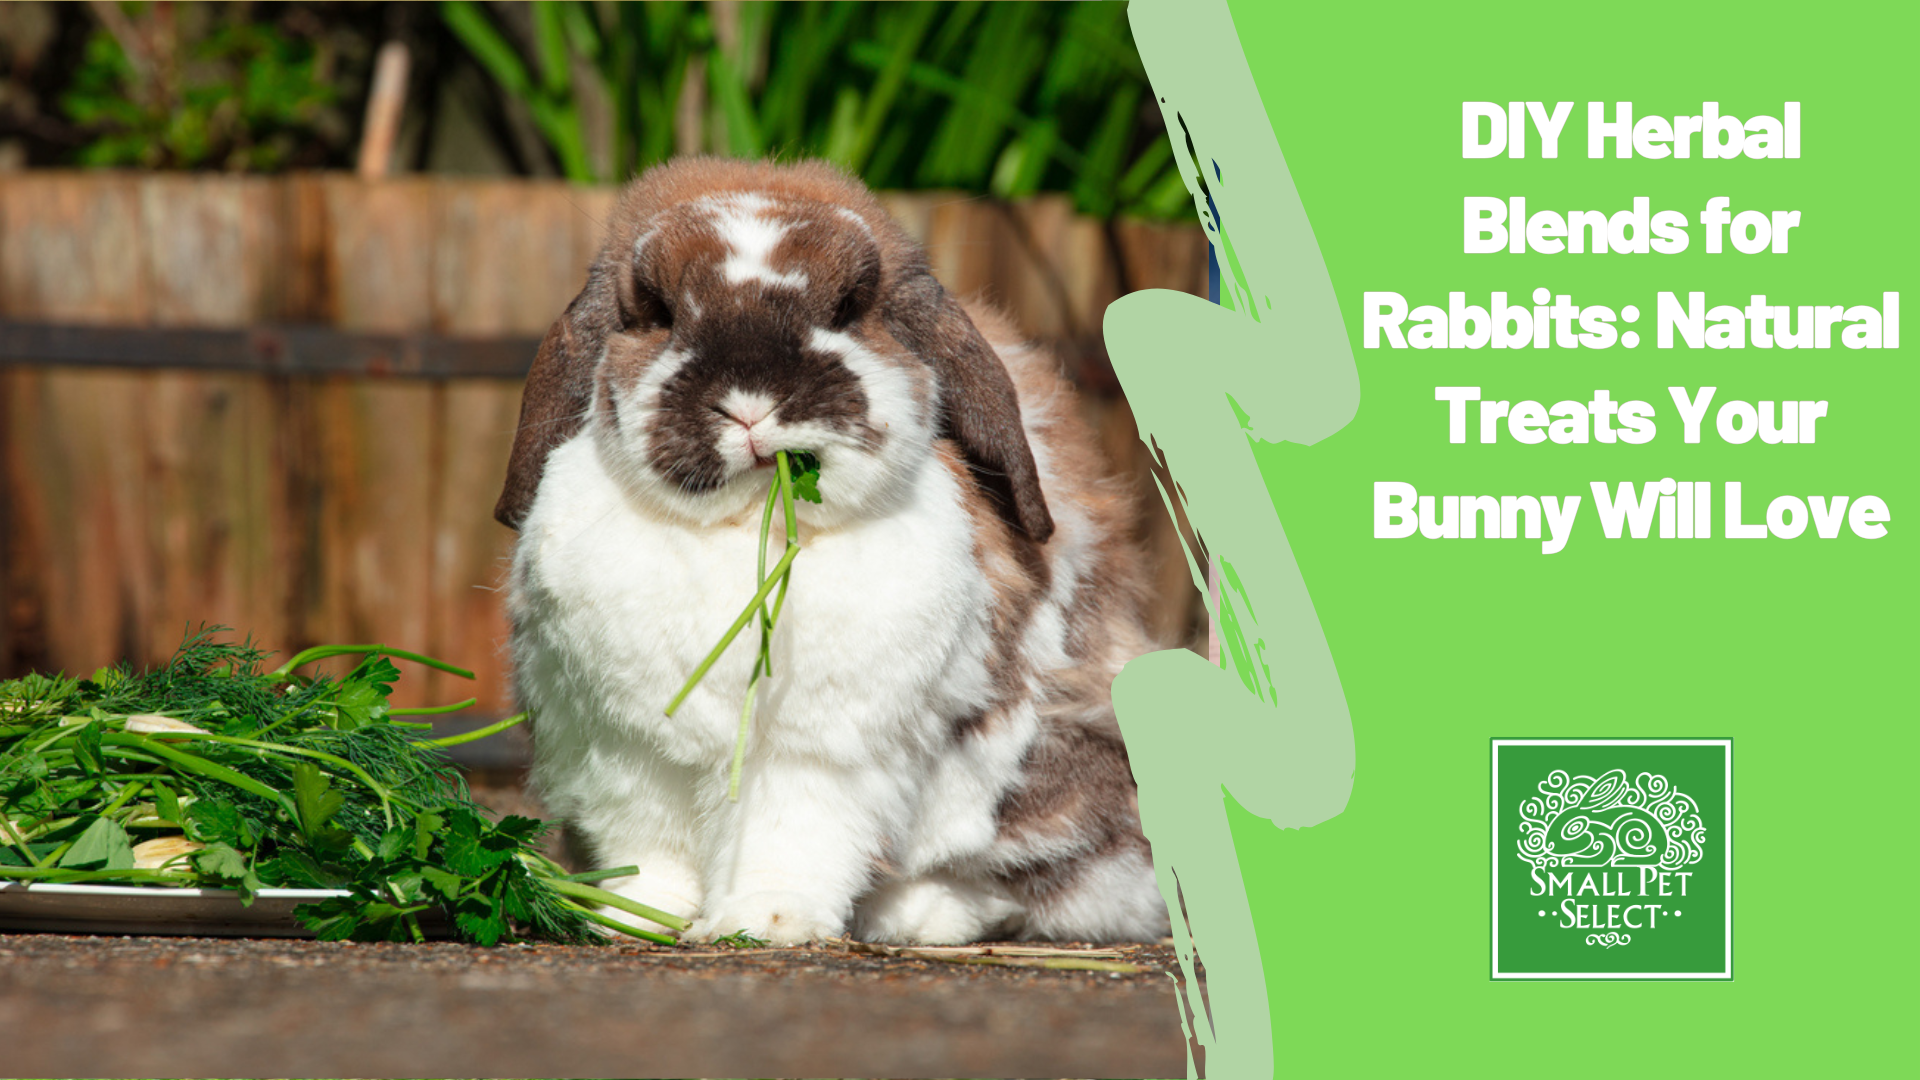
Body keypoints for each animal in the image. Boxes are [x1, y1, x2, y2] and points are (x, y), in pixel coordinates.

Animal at [495, 157, 1172, 946]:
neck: (747, 536)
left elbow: (787, 842)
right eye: (657, 311)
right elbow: (650, 852)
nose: (750, 400)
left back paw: (917, 917)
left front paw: (764, 924)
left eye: (850, 306)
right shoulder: (626, 753)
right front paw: (634, 919)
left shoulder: (813, 757)